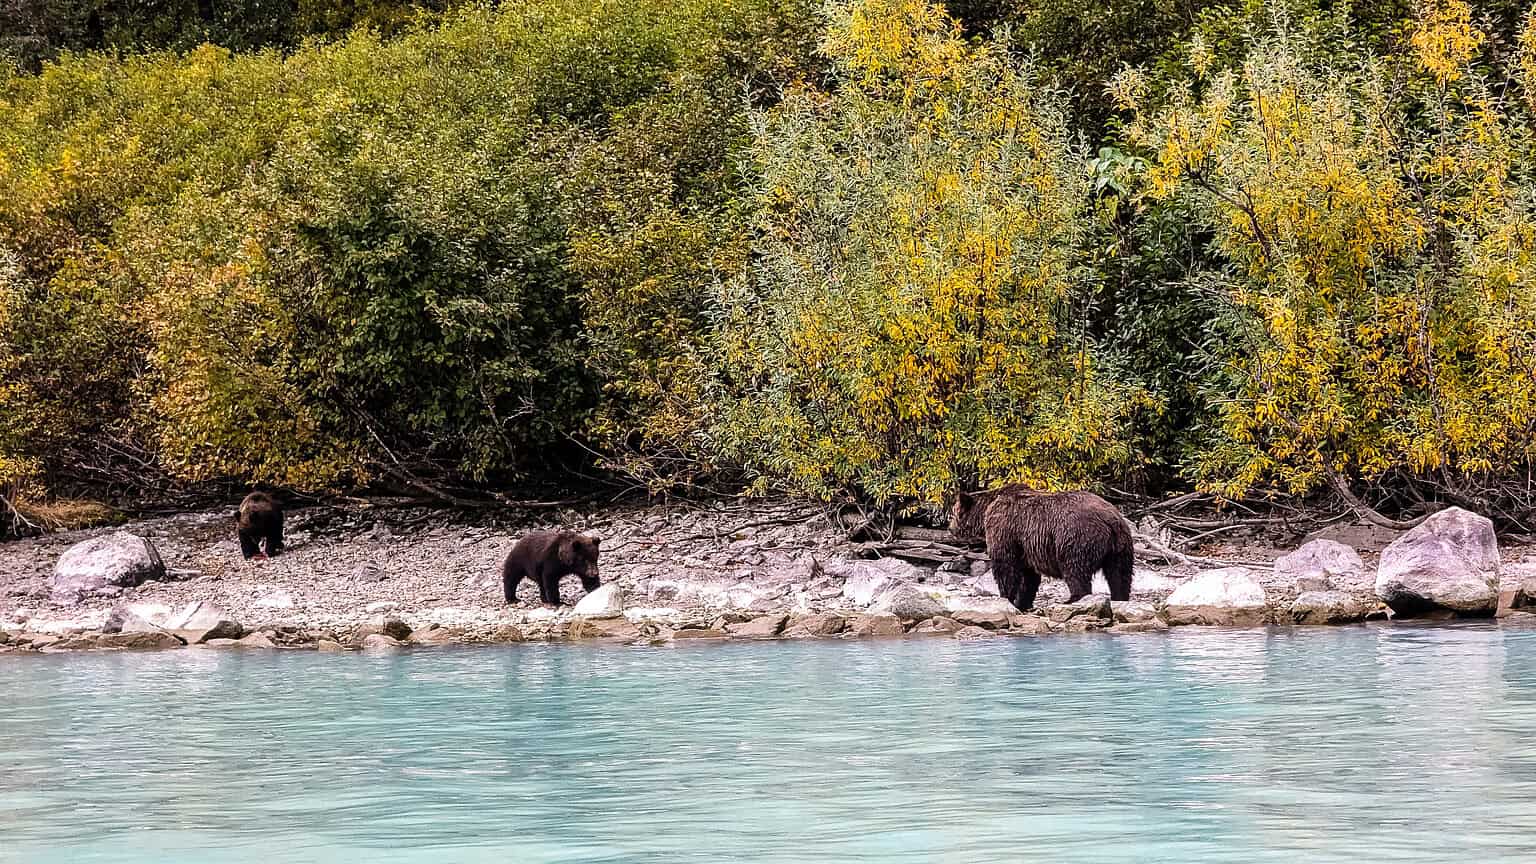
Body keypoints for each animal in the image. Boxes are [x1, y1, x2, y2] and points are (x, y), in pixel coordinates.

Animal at [949, 484, 1133, 610]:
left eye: (952, 513)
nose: (950, 528)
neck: (985, 510)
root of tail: (1110, 519)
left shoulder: (1005, 529)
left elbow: (1005, 566)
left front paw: (1006, 597)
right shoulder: (1025, 545)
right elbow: (1028, 576)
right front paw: (1022, 602)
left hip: (1076, 537)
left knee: (1075, 569)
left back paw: (1073, 599)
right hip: (1121, 545)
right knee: (1119, 575)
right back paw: (1119, 598)